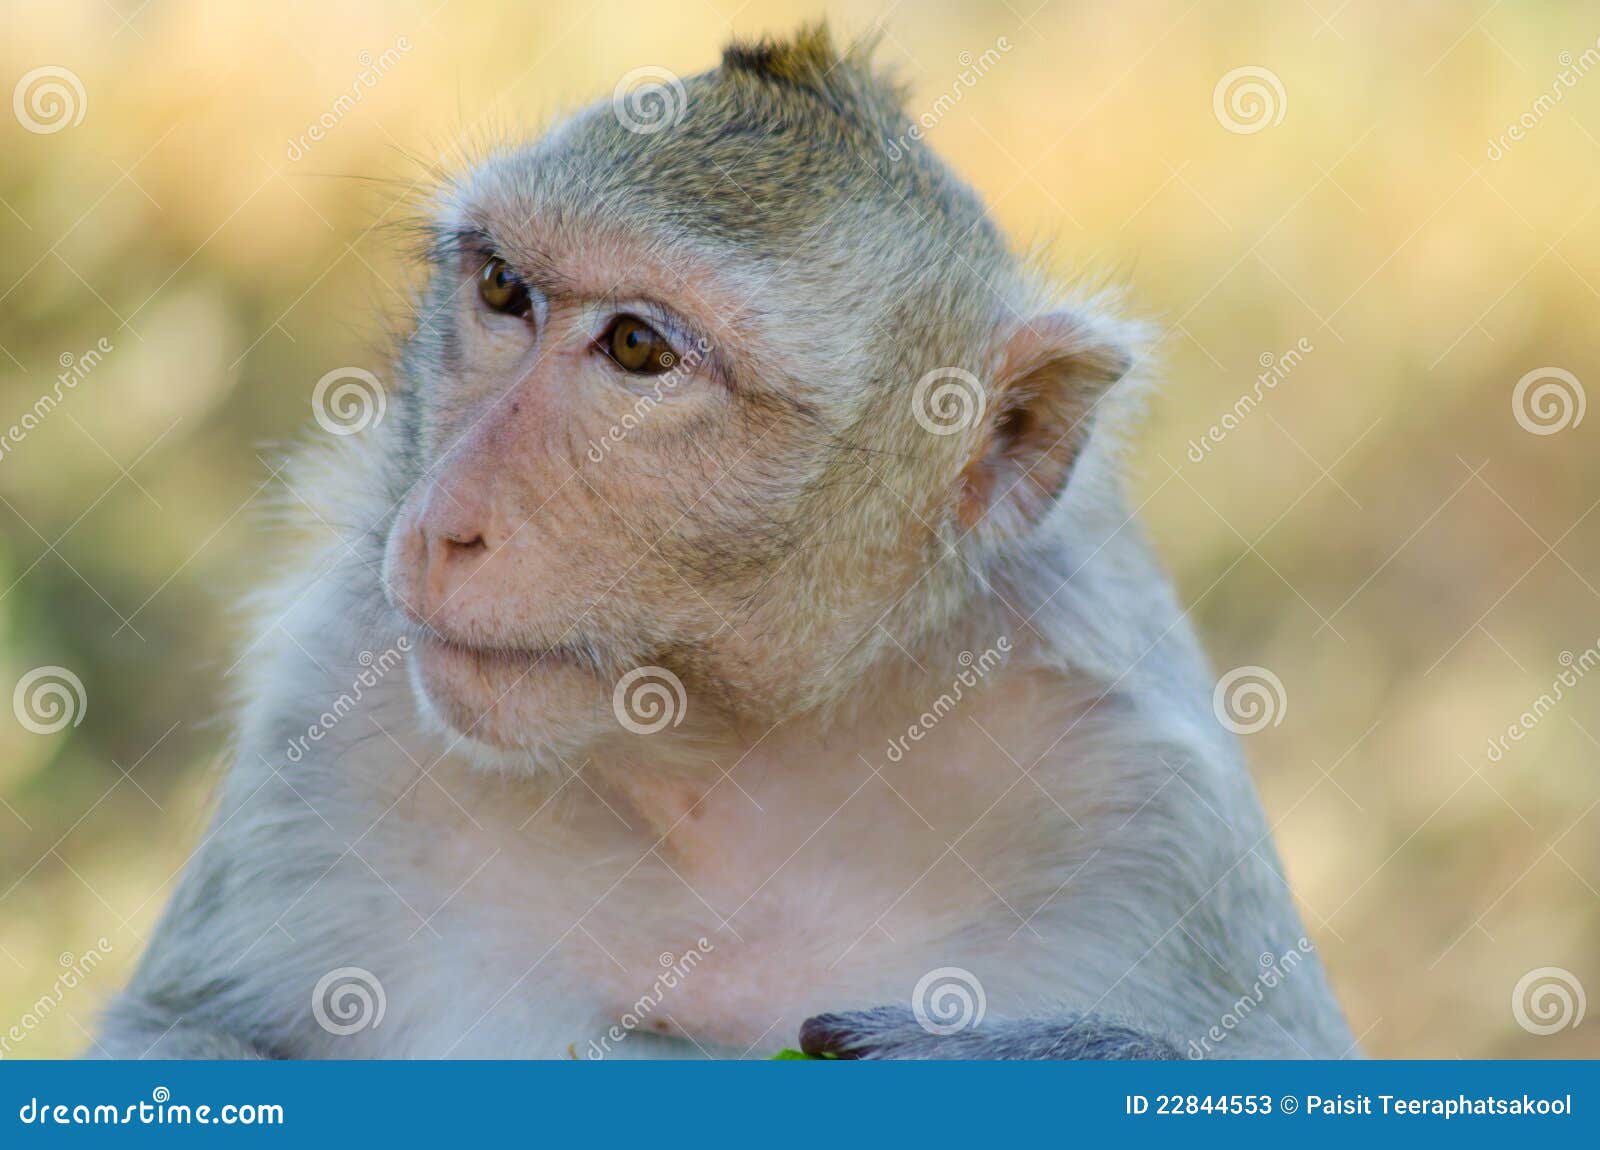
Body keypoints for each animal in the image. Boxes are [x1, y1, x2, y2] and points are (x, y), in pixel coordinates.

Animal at [95, 25, 1354, 1060]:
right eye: (502, 287)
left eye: (639, 349)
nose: (440, 523)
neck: (724, 758)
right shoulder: (327, 705)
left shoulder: (1153, 817)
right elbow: (179, 1034)